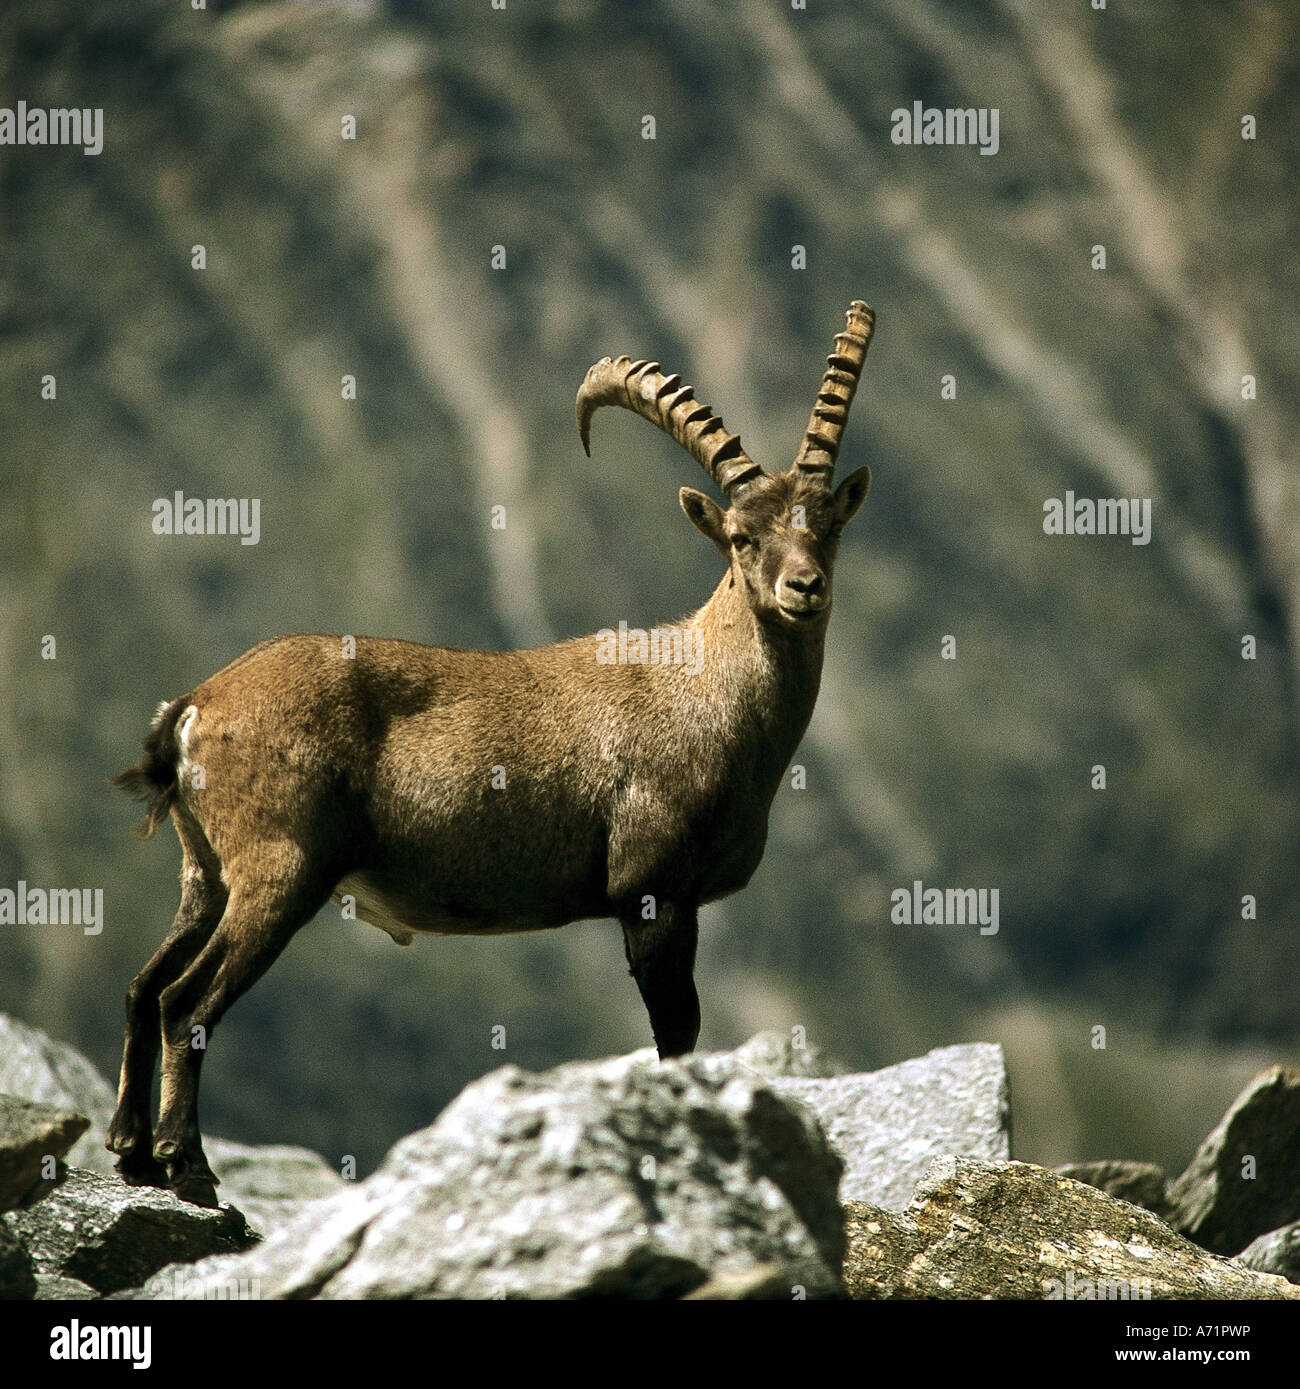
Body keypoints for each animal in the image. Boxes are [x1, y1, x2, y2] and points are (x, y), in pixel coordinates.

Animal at [108, 301, 876, 1205]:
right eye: (740, 535)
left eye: (828, 526)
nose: (803, 588)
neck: (706, 695)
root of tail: (195, 705)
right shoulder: (652, 892)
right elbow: (676, 1034)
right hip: (278, 869)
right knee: (186, 1002)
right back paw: (187, 1165)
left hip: (204, 870)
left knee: (143, 984)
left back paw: (129, 1149)